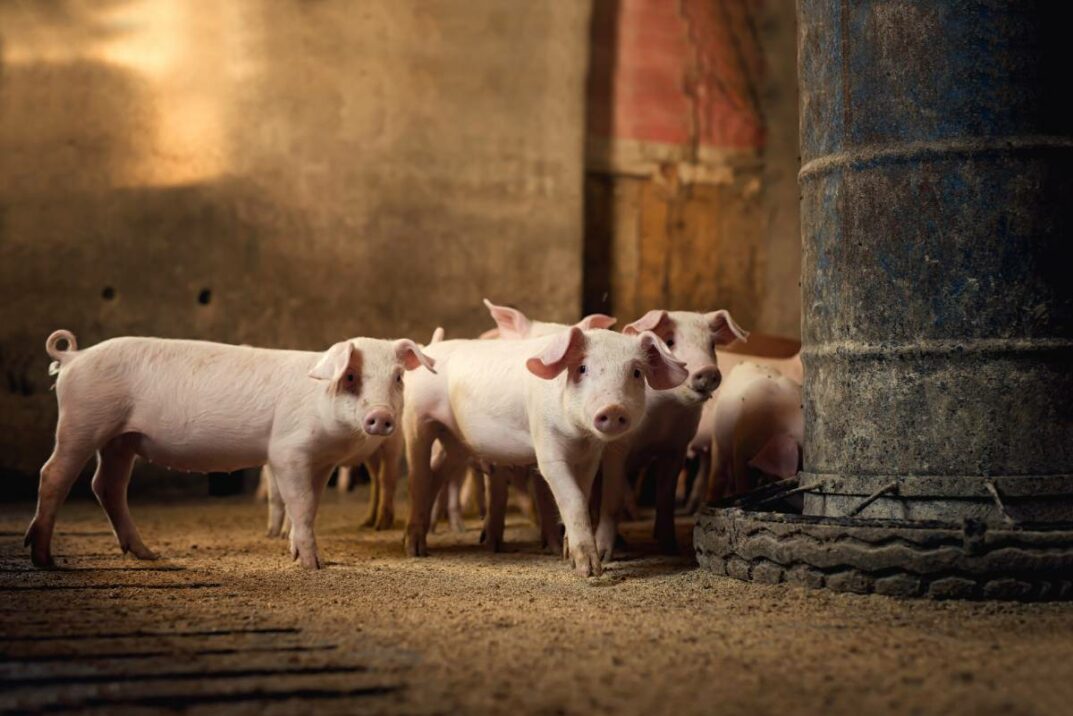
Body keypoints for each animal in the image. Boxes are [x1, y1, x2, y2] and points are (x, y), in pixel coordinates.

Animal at [27, 330, 435, 569]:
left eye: (398, 378)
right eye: (351, 376)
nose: (381, 417)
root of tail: (74, 358)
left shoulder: (321, 463)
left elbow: (310, 506)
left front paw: (299, 554)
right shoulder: (287, 451)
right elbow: (301, 505)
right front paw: (313, 565)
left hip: (120, 440)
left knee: (106, 486)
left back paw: (146, 554)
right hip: (83, 421)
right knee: (53, 474)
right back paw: (45, 559)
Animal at [402, 327, 688, 576]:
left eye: (637, 372)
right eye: (582, 368)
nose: (613, 408)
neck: (578, 436)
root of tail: (430, 348)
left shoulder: (590, 457)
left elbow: (584, 494)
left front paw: (567, 556)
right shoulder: (546, 444)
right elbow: (572, 497)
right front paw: (589, 571)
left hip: (456, 441)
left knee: (436, 474)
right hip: (416, 417)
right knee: (419, 476)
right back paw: (415, 549)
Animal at [594, 310, 747, 560]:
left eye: (712, 344)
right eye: (669, 342)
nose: (707, 371)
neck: (664, 417)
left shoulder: (677, 448)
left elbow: (665, 497)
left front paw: (670, 548)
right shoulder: (616, 449)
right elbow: (613, 500)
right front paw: (603, 556)